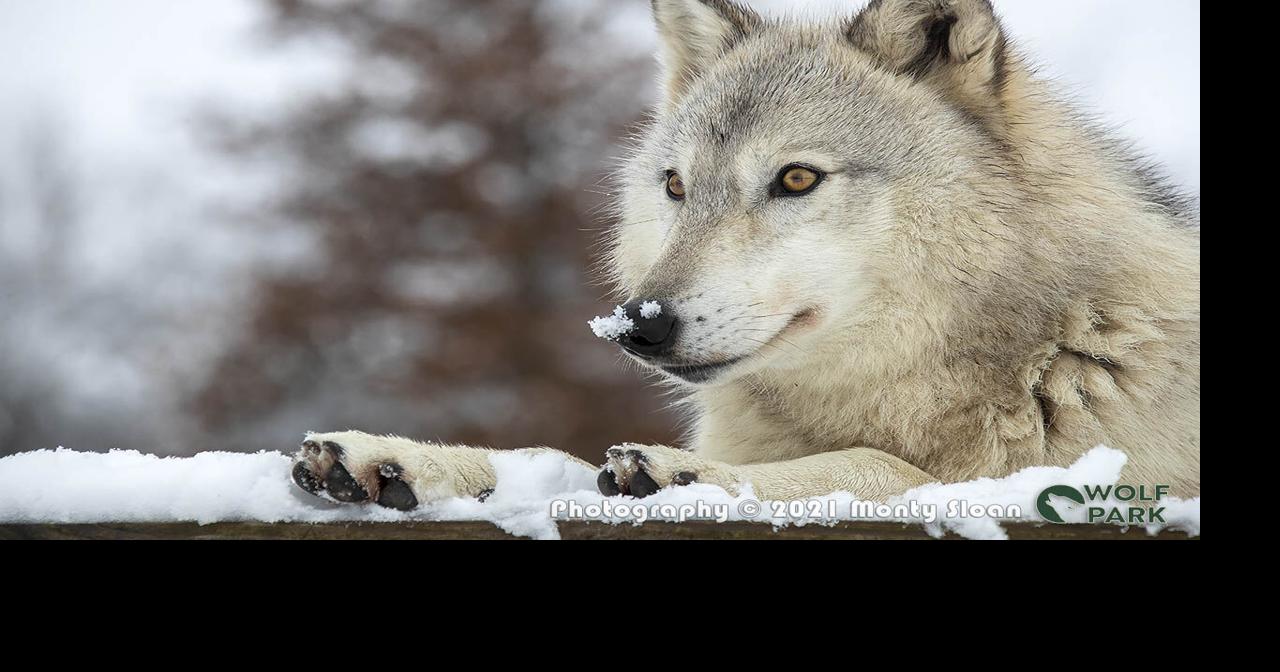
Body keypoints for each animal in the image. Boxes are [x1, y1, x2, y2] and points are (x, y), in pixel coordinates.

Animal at [290, 0, 1200, 511]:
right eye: (675, 186)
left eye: (796, 178)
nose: (639, 323)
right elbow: (552, 460)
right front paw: (401, 460)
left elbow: (885, 469)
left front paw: (686, 477)